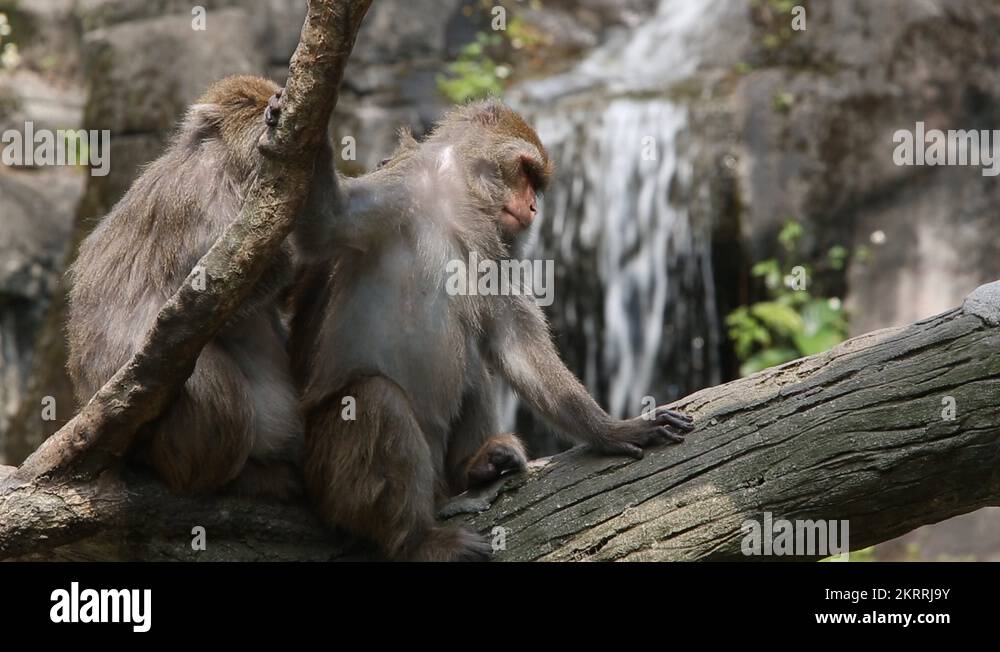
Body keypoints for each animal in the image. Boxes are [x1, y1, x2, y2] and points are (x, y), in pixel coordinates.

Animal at [286, 96, 696, 560]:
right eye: (527, 173)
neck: (454, 204)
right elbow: (326, 222)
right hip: (329, 473)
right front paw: (307, 125)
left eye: (537, 185)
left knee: (471, 368)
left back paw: (475, 467)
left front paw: (611, 429)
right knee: (376, 399)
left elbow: (516, 345)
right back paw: (416, 539)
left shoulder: (490, 249)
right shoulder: (397, 190)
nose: (534, 208)